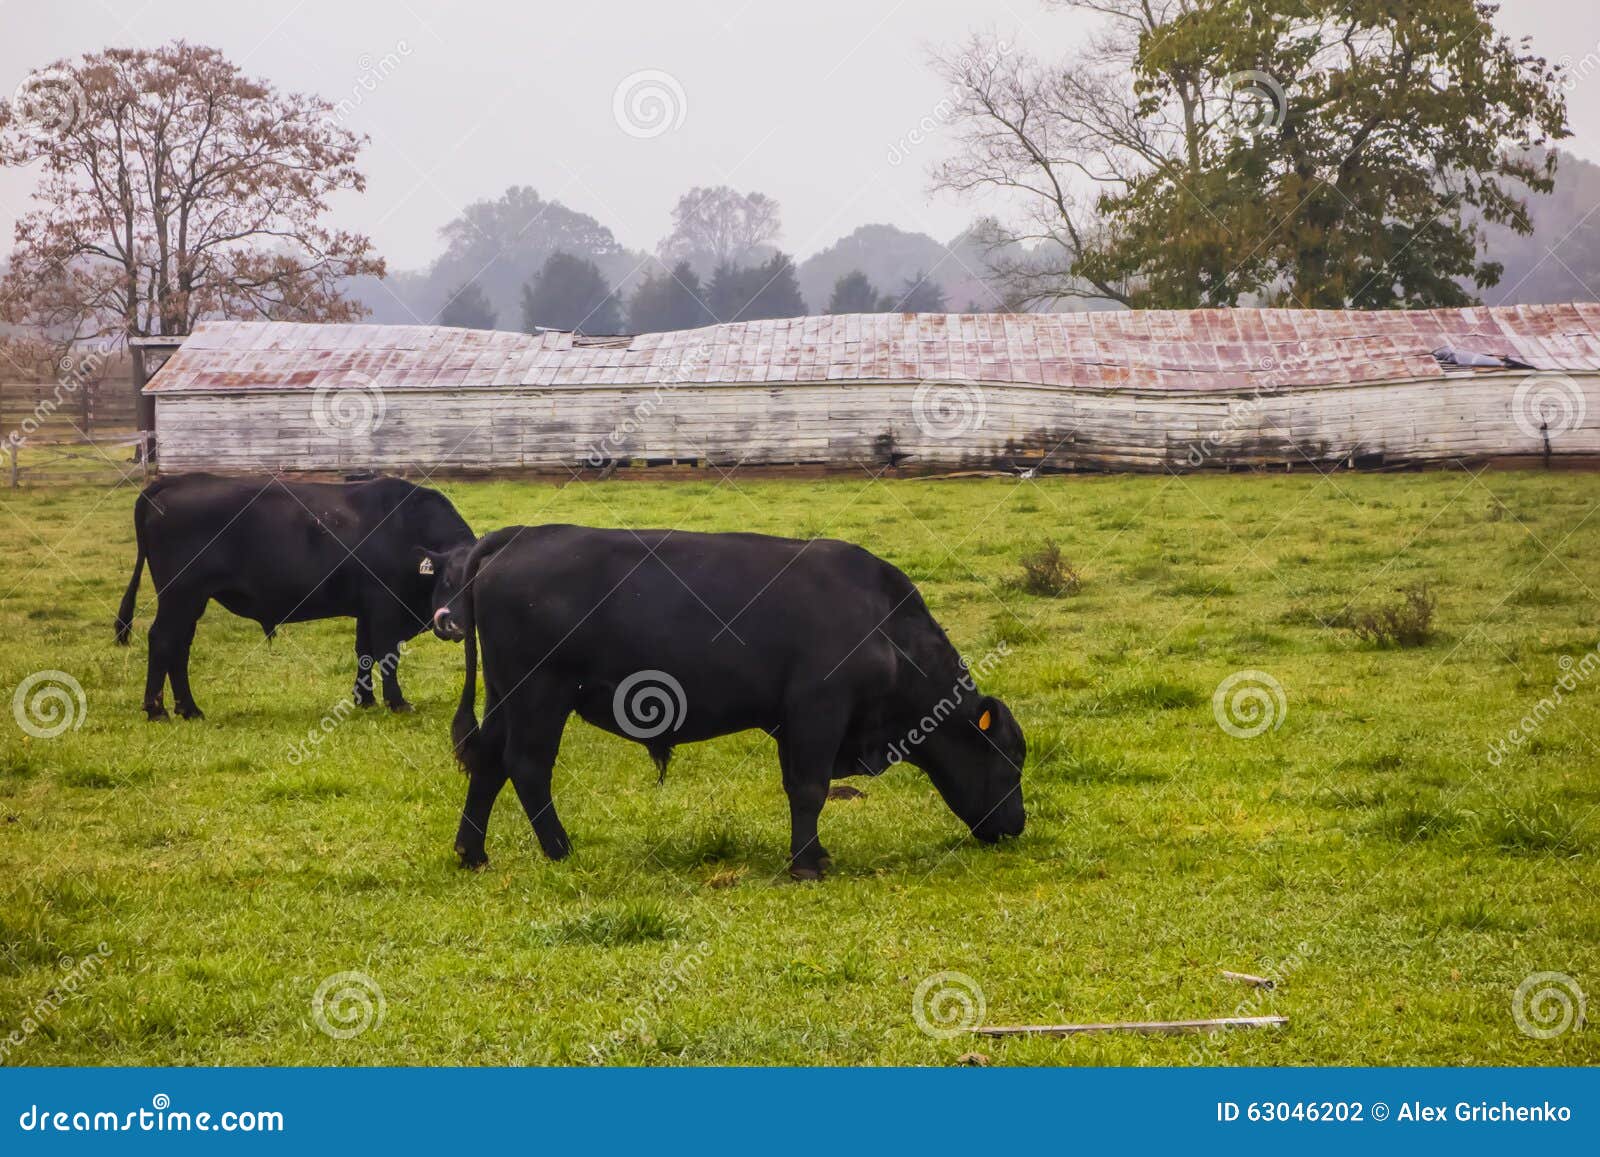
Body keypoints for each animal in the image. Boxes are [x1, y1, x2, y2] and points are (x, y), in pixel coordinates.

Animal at [116, 472, 475, 720]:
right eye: (446, 581)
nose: (453, 626)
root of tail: (176, 480)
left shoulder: (365, 610)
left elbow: (364, 653)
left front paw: (365, 699)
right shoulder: (384, 604)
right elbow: (387, 654)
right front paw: (397, 702)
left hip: (191, 601)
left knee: (179, 646)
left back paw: (189, 709)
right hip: (180, 595)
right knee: (163, 640)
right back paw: (157, 710)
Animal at [426, 525, 1026, 879]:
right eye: (1009, 759)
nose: (1017, 825)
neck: (883, 624)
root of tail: (522, 536)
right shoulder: (818, 711)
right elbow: (809, 790)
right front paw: (807, 864)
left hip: (505, 696)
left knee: (488, 765)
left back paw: (472, 852)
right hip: (539, 694)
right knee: (527, 767)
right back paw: (559, 849)